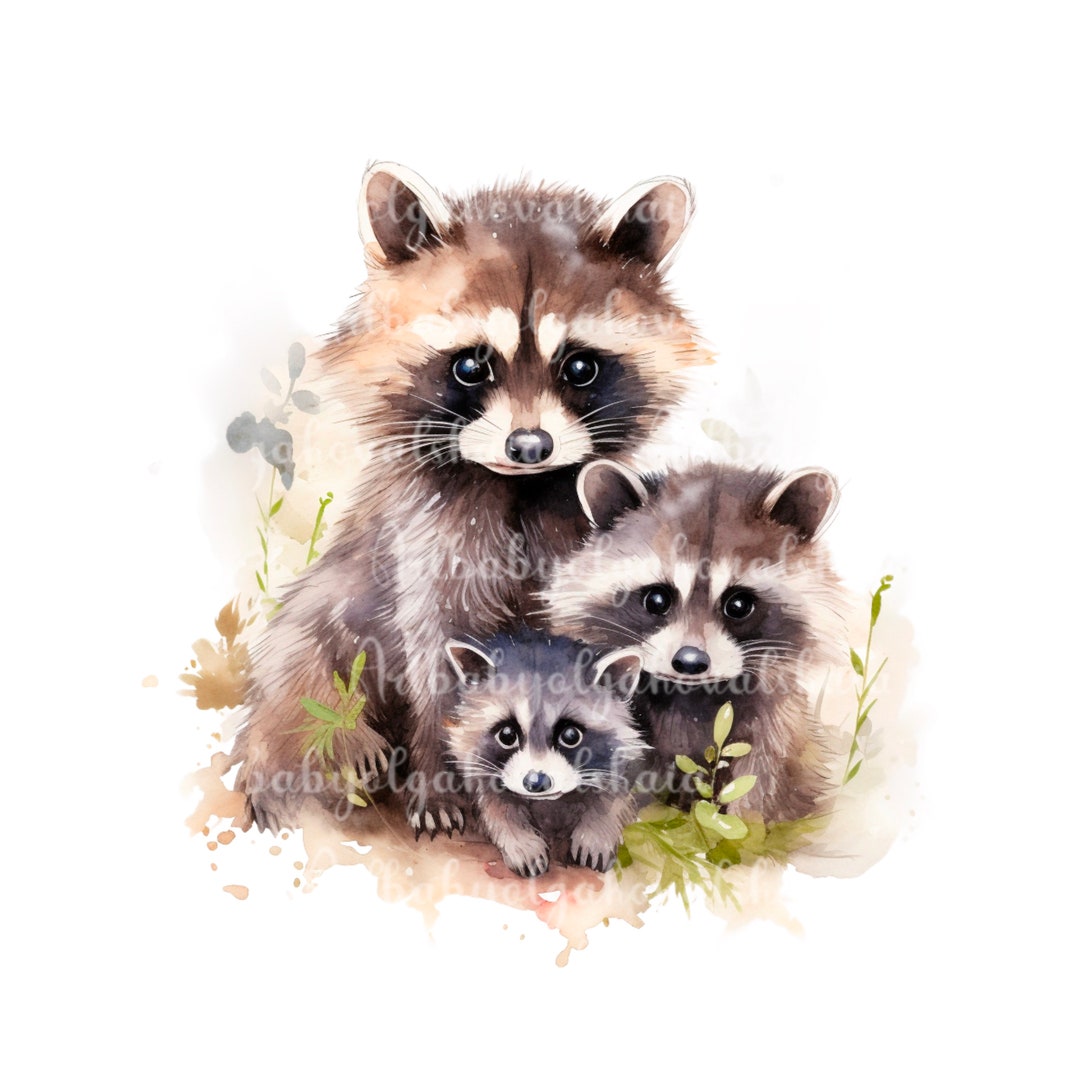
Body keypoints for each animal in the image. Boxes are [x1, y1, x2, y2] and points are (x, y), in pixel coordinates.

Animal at [231, 162, 711, 835]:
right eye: (471, 366)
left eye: (580, 368)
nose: (530, 445)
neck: (519, 488)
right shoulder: (424, 543)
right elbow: (436, 657)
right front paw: (443, 780)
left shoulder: (580, 544)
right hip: (311, 658)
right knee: (301, 678)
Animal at [444, 630, 645, 877]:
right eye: (507, 735)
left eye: (571, 736)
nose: (536, 782)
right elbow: (494, 803)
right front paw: (521, 841)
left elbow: (613, 796)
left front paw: (597, 831)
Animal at [540, 459, 846, 822]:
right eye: (656, 599)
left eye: (739, 605)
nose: (689, 662)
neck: (693, 696)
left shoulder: (775, 725)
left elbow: (765, 783)